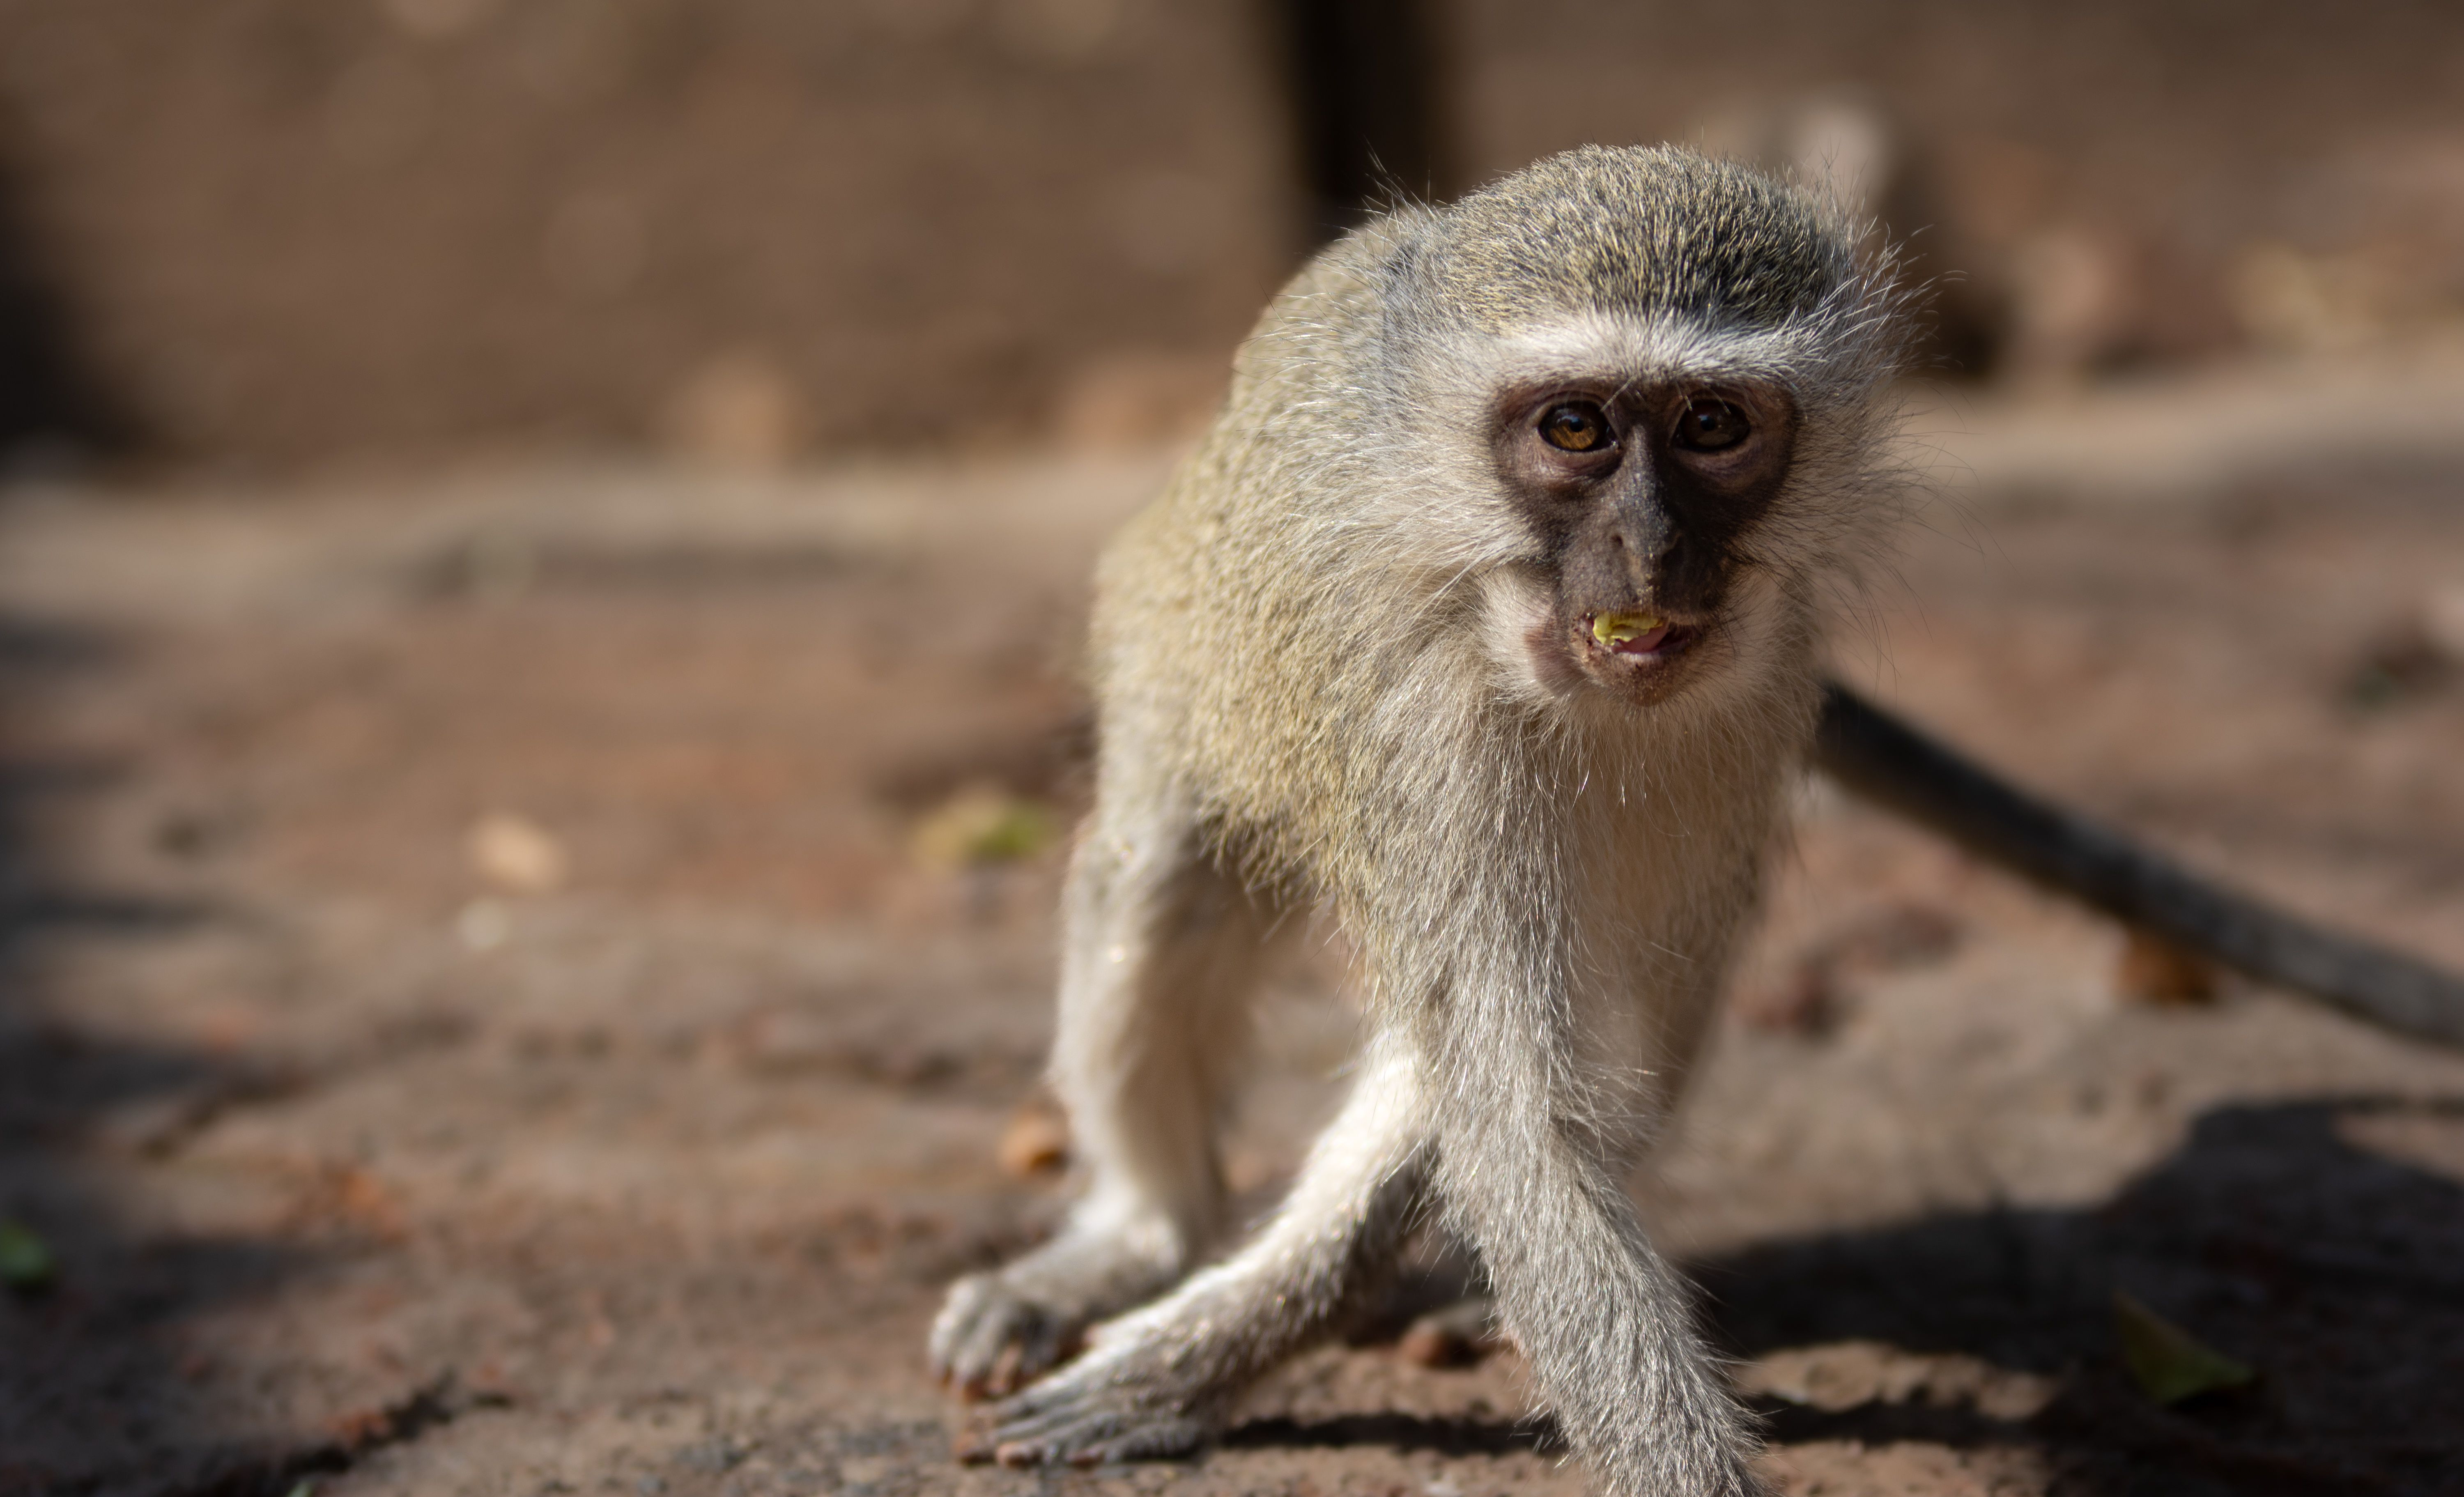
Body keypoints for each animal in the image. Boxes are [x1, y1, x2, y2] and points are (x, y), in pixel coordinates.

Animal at [927, 145, 2464, 1494]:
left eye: (1714, 427)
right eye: (1575, 429)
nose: (1652, 553)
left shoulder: (1758, 687)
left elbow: (1549, 1062)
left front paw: (1210, 1355)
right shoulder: (1421, 724)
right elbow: (1510, 1098)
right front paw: (1195, 1356)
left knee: (1646, 992)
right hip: (1159, 646)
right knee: (1160, 879)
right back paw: (1143, 1235)